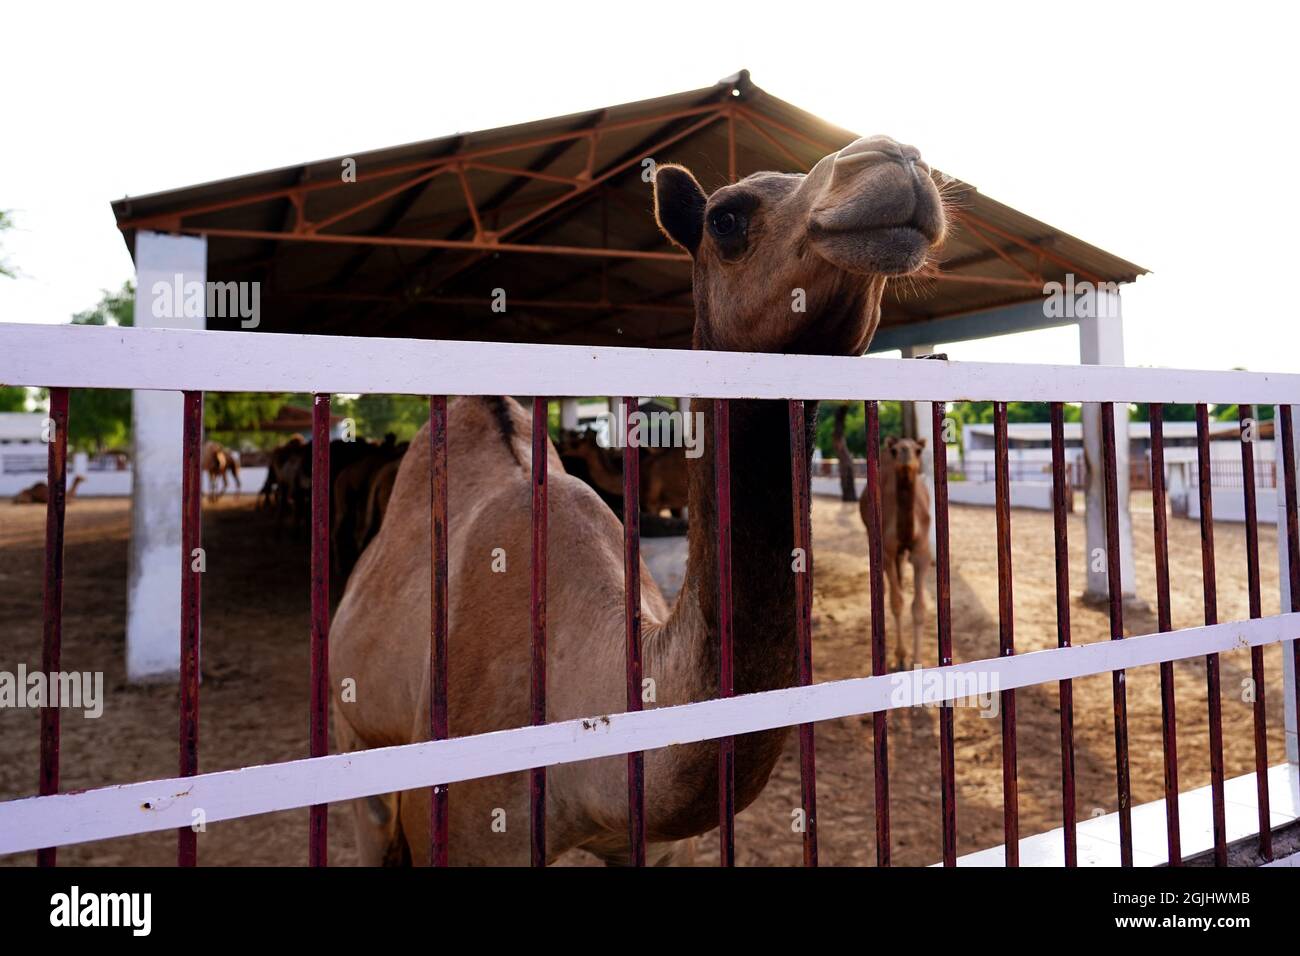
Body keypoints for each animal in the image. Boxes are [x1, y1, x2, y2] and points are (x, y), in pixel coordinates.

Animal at [859, 436, 932, 669]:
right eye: (893, 451)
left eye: (918, 450)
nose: (905, 454)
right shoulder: (887, 552)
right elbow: (897, 603)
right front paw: (900, 657)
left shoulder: (922, 552)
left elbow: (919, 607)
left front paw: (916, 661)